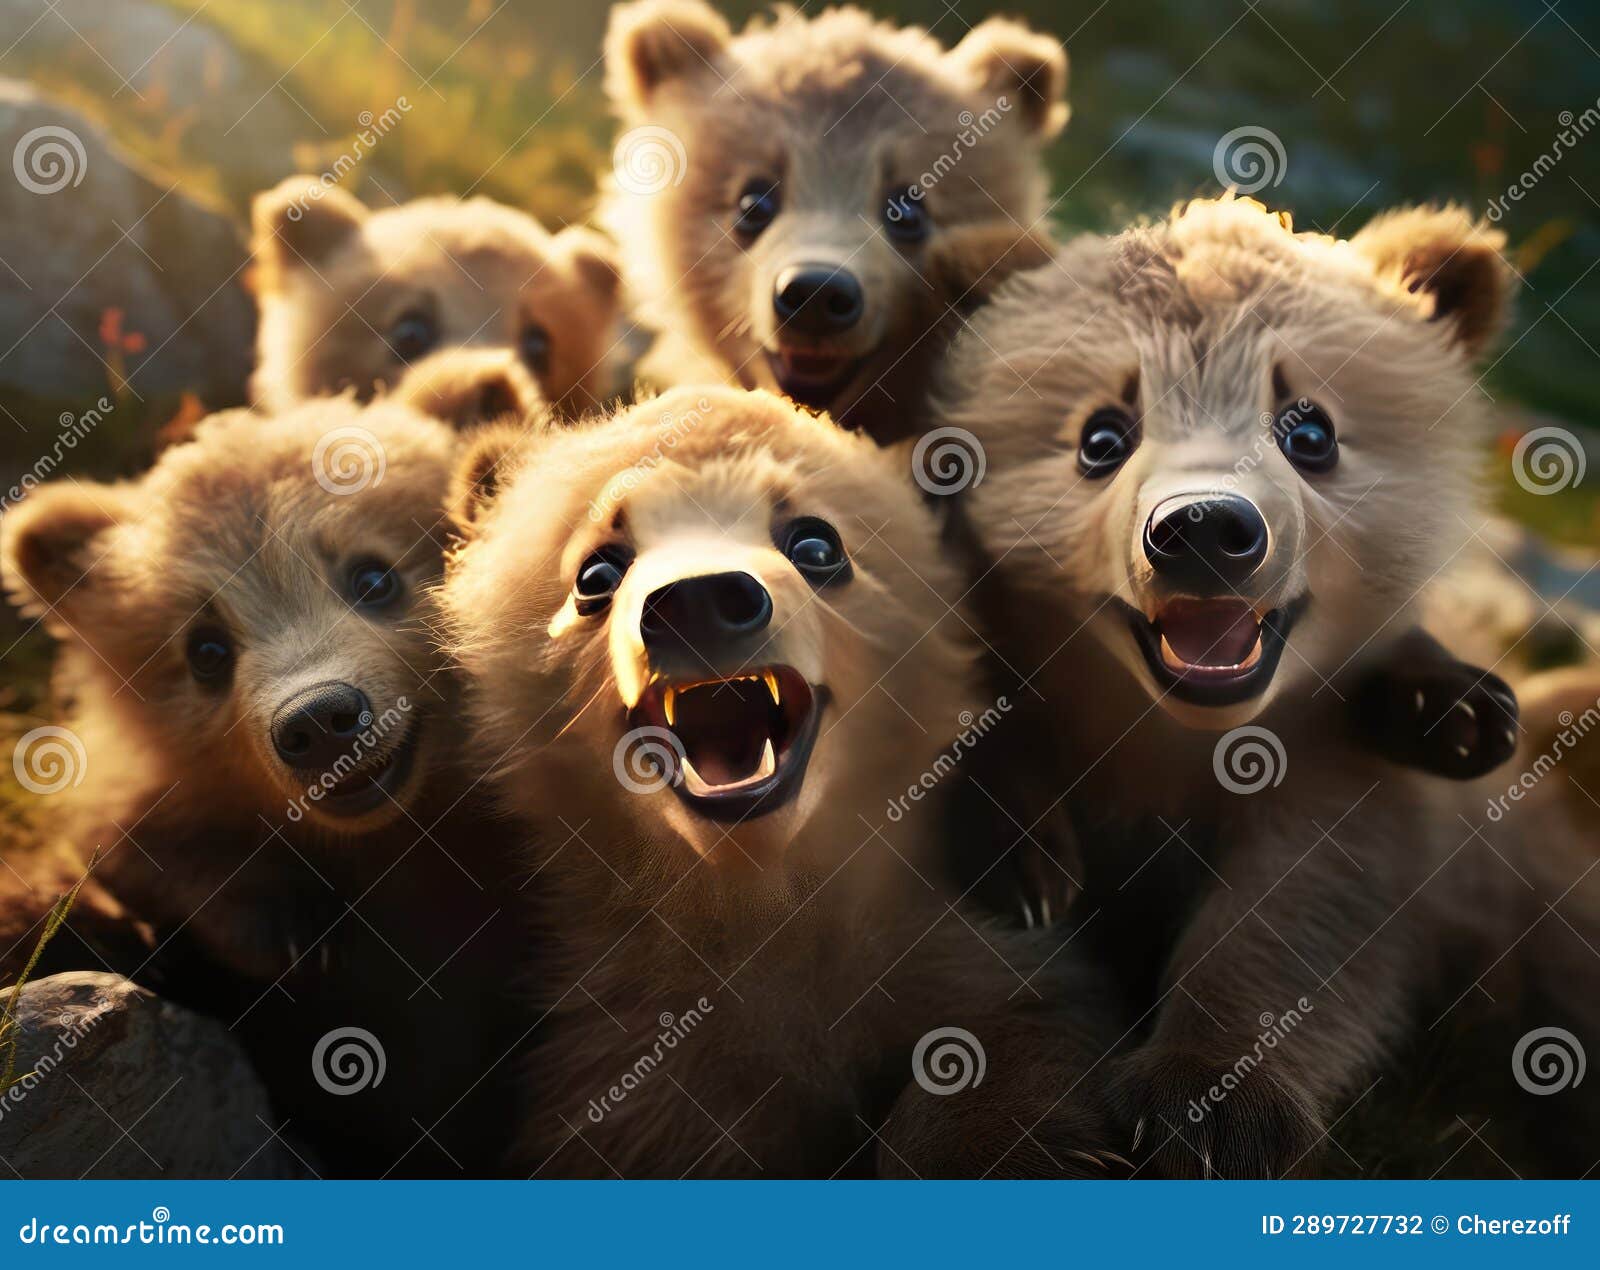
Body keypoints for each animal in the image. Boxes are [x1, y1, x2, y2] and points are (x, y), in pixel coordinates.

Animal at [438, 386, 1132, 1178]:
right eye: (595, 574)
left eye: (816, 545)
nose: (701, 601)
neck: (761, 900)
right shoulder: (626, 1058)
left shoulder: (946, 954)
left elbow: (1015, 1032)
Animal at [930, 197, 1600, 1177]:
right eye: (1102, 436)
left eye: (1308, 430)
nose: (1207, 528)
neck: (1178, 730)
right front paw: (1012, 1136)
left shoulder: (1336, 754)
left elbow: (1304, 918)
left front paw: (1214, 1108)